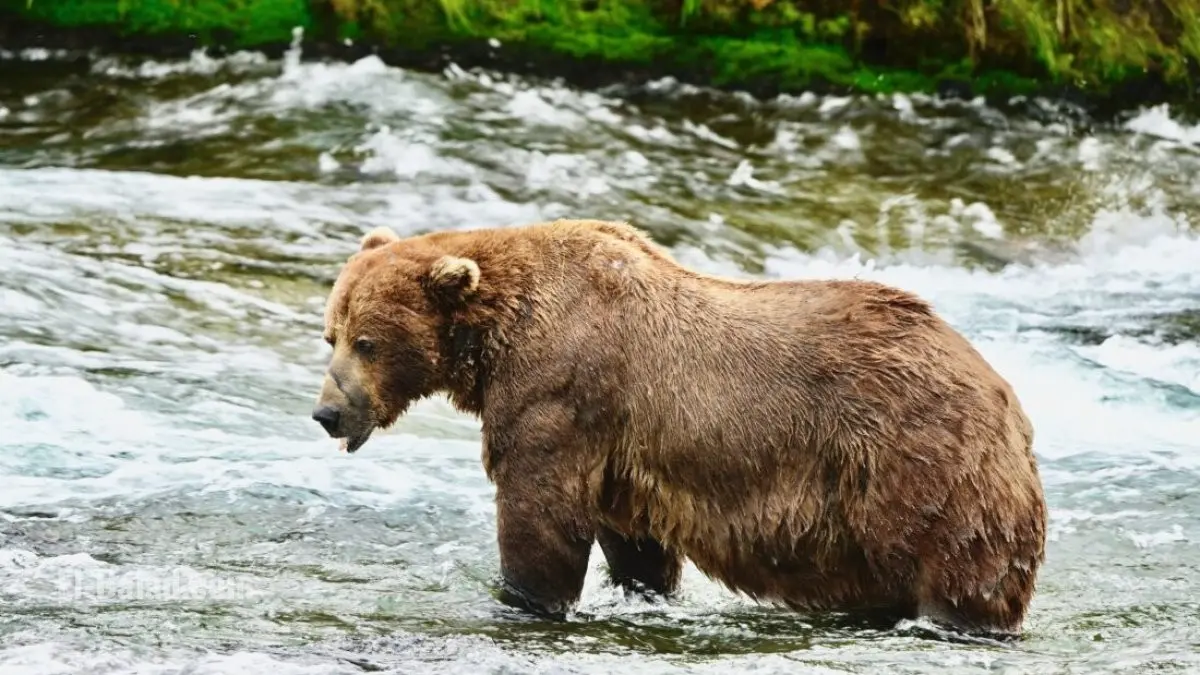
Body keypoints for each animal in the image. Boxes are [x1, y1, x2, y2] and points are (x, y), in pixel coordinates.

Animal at [310, 218, 1048, 637]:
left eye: (367, 341)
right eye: (331, 334)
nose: (327, 412)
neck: (494, 335)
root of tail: (1008, 398)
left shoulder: (561, 389)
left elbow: (539, 512)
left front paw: (522, 597)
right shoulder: (621, 451)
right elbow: (633, 542)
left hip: (919, 462)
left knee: (960, 569)